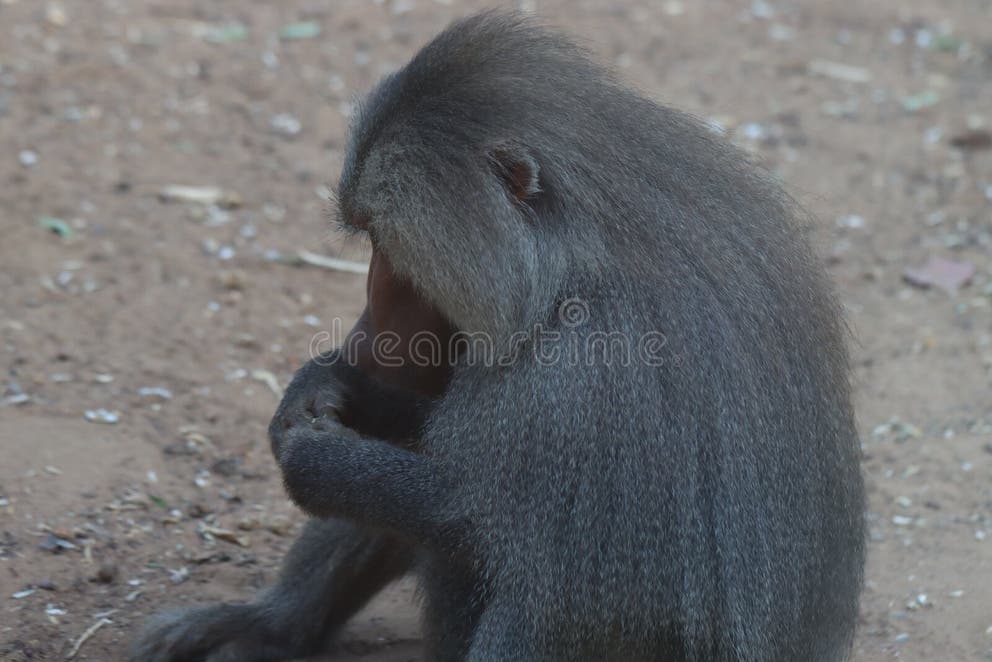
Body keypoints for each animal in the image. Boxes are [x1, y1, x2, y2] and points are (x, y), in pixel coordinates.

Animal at [130, 11, 865, 662]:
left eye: (384, 245)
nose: (365, 333)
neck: (573, 261)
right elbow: (439, 445)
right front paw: (328, 385)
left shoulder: (589, 367)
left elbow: (478, 515)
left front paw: (313, 456)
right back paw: (266, 628)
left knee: (545, 585)